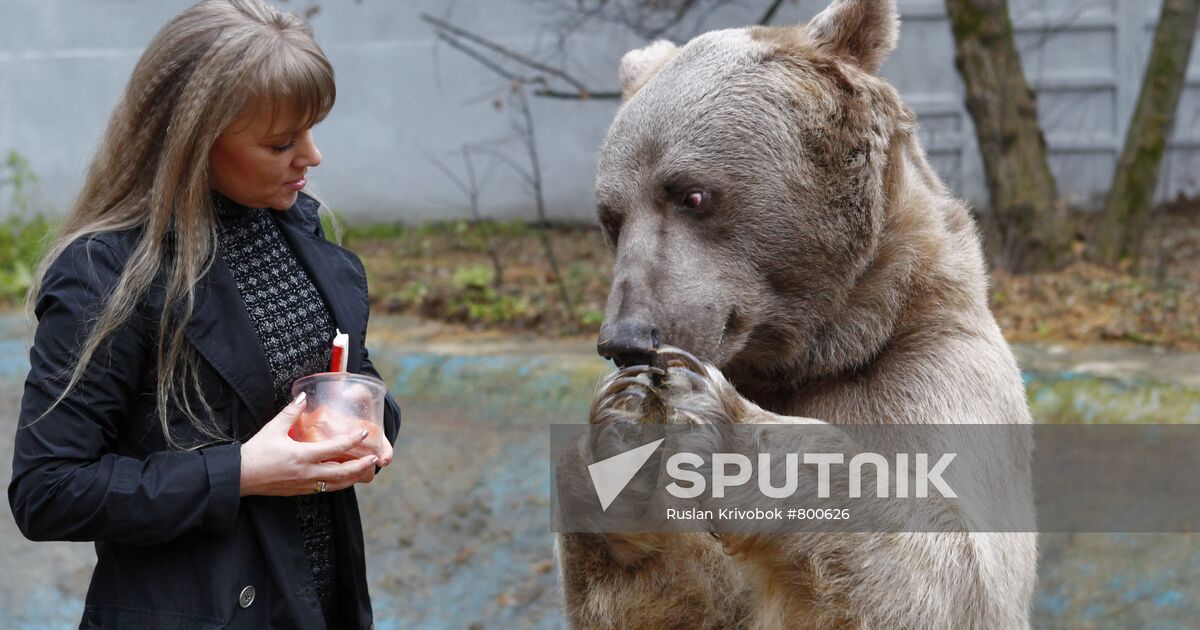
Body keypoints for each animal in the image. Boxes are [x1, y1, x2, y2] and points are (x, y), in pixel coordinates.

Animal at [554, 0, 1038, 628]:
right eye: (612, 219)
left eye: (691, 194)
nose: (627, 340)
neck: (817, 355)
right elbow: (691, 600)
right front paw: (620, 429)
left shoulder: (929, 370)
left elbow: (956, 575)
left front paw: (717, 422)